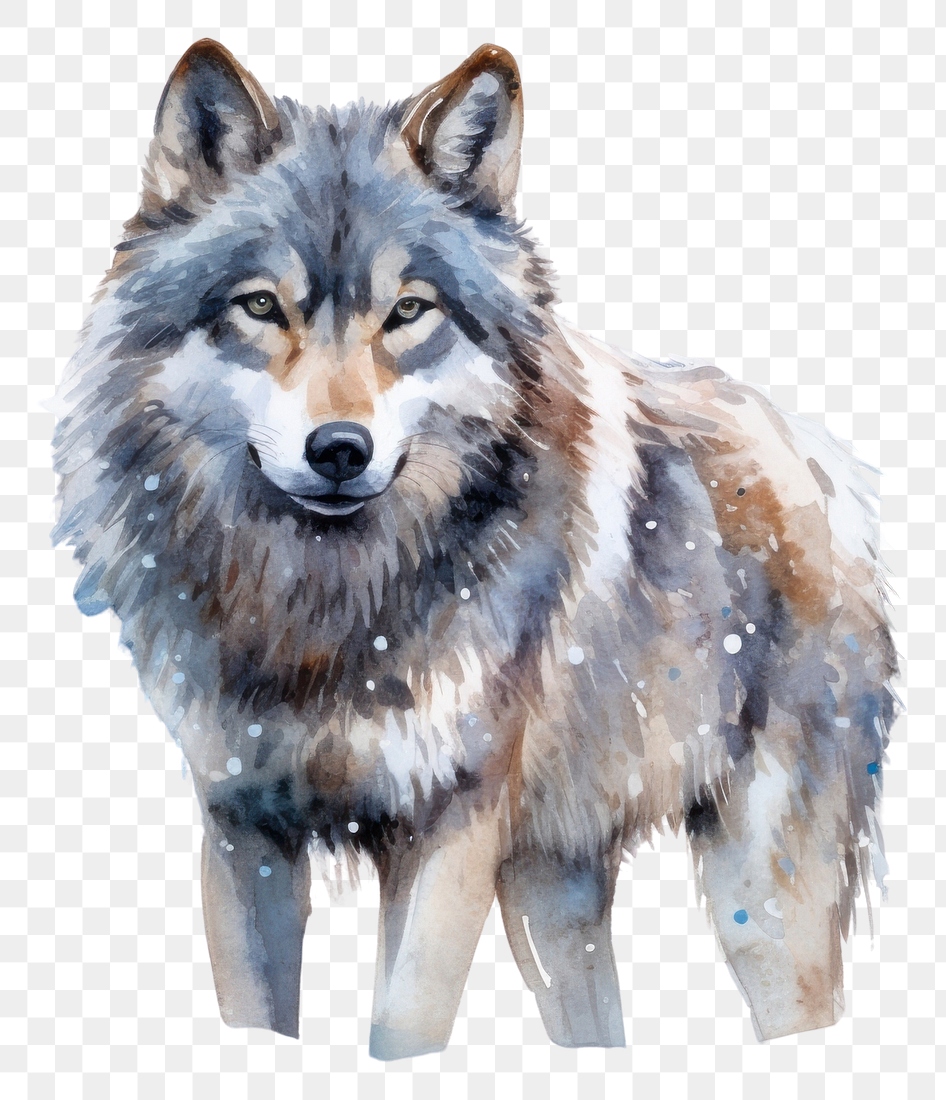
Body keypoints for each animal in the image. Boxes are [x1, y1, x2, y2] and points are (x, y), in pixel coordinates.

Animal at [53, 40, 897, 1059]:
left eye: (409, 311)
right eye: (261, 305)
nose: (340, 449)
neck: (327, 615)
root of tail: (812, 452)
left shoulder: (446, 829)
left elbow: (403, 1032)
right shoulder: (241, 828)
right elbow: (256, 1017)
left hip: (760, 898)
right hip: (551, 896)